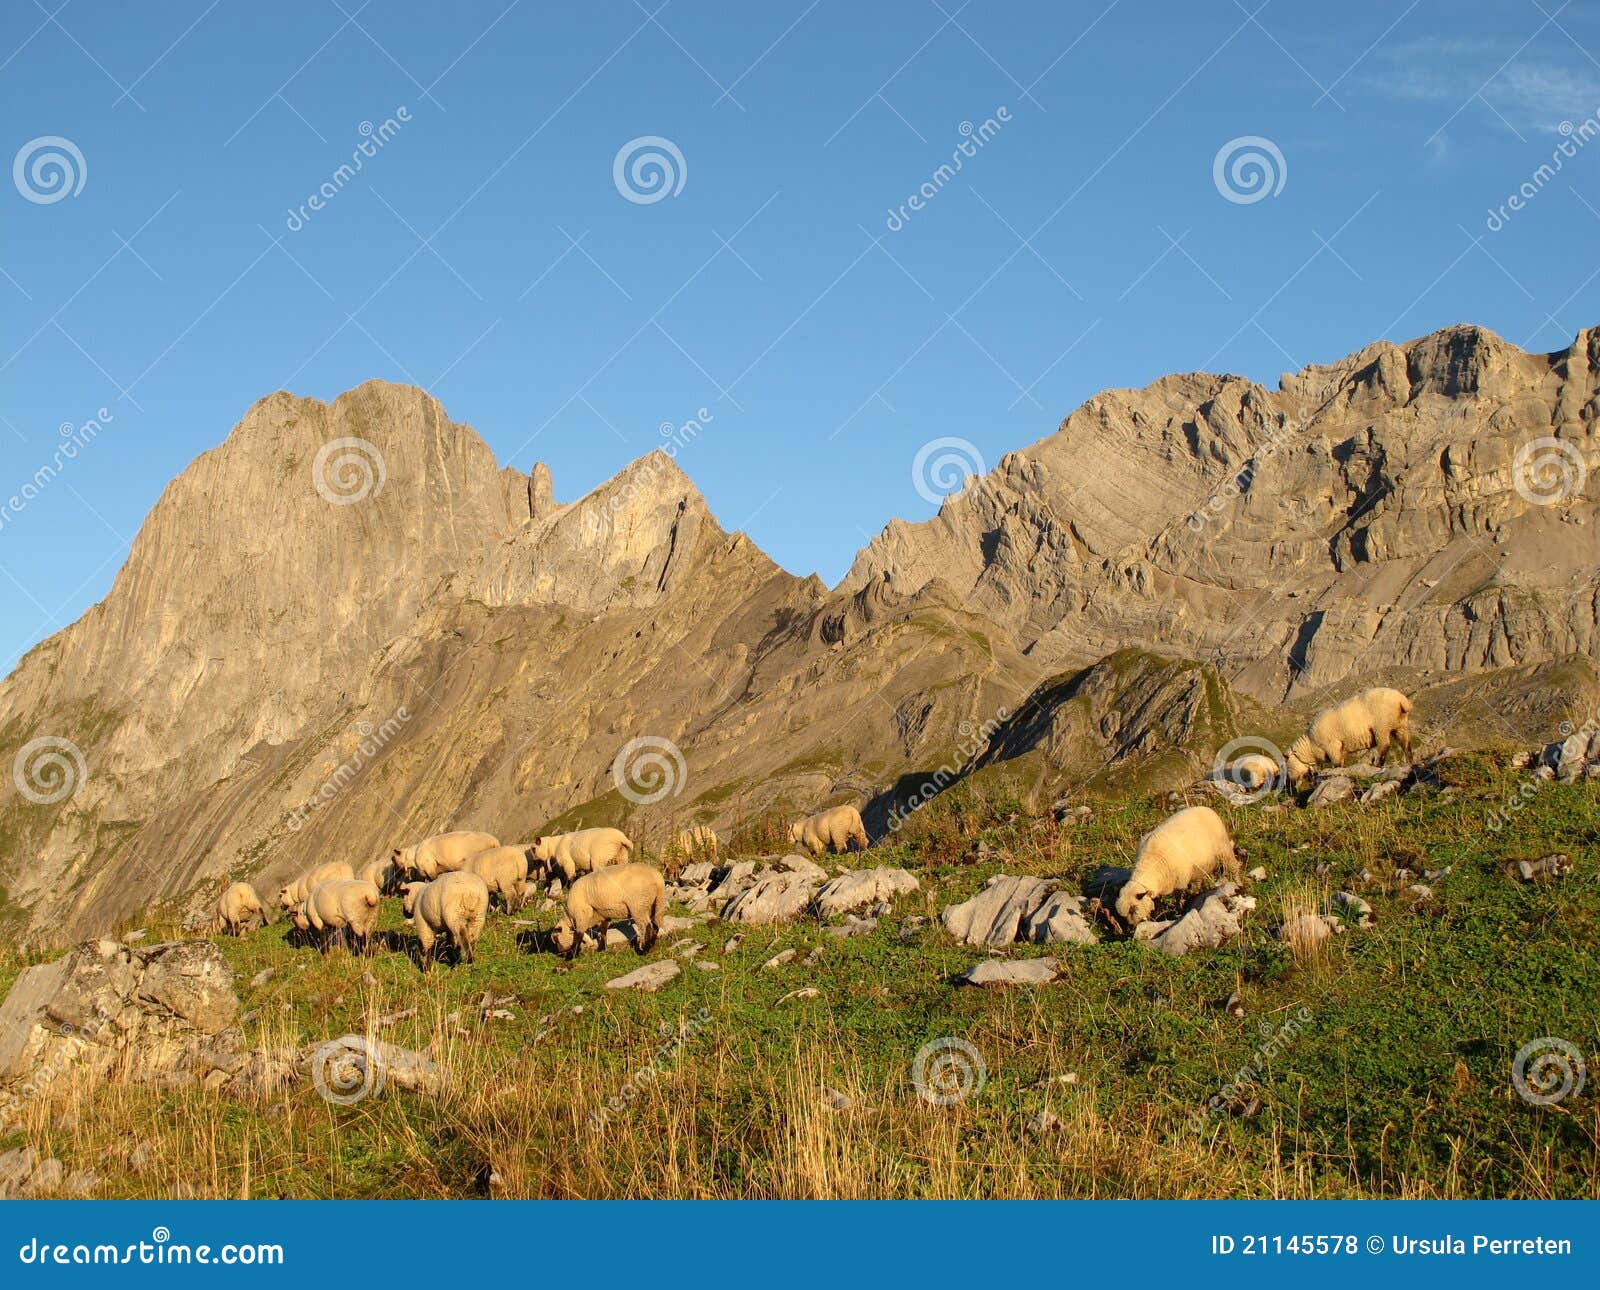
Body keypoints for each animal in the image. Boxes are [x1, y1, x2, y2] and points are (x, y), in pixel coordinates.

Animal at [1285, 687, 1414, 785]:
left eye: (1288, 765)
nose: (1292, 782)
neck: (1310, 746)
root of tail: (1401, 699)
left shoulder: (1332, 746)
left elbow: (1336, 764)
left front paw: (1334, 773)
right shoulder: (1341, 749)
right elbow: (1341, 763)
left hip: (1381, 725)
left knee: (1384, 746)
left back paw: (1378, 764)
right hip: (1400, 724)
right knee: (1406, 744)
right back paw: (1410, 761)